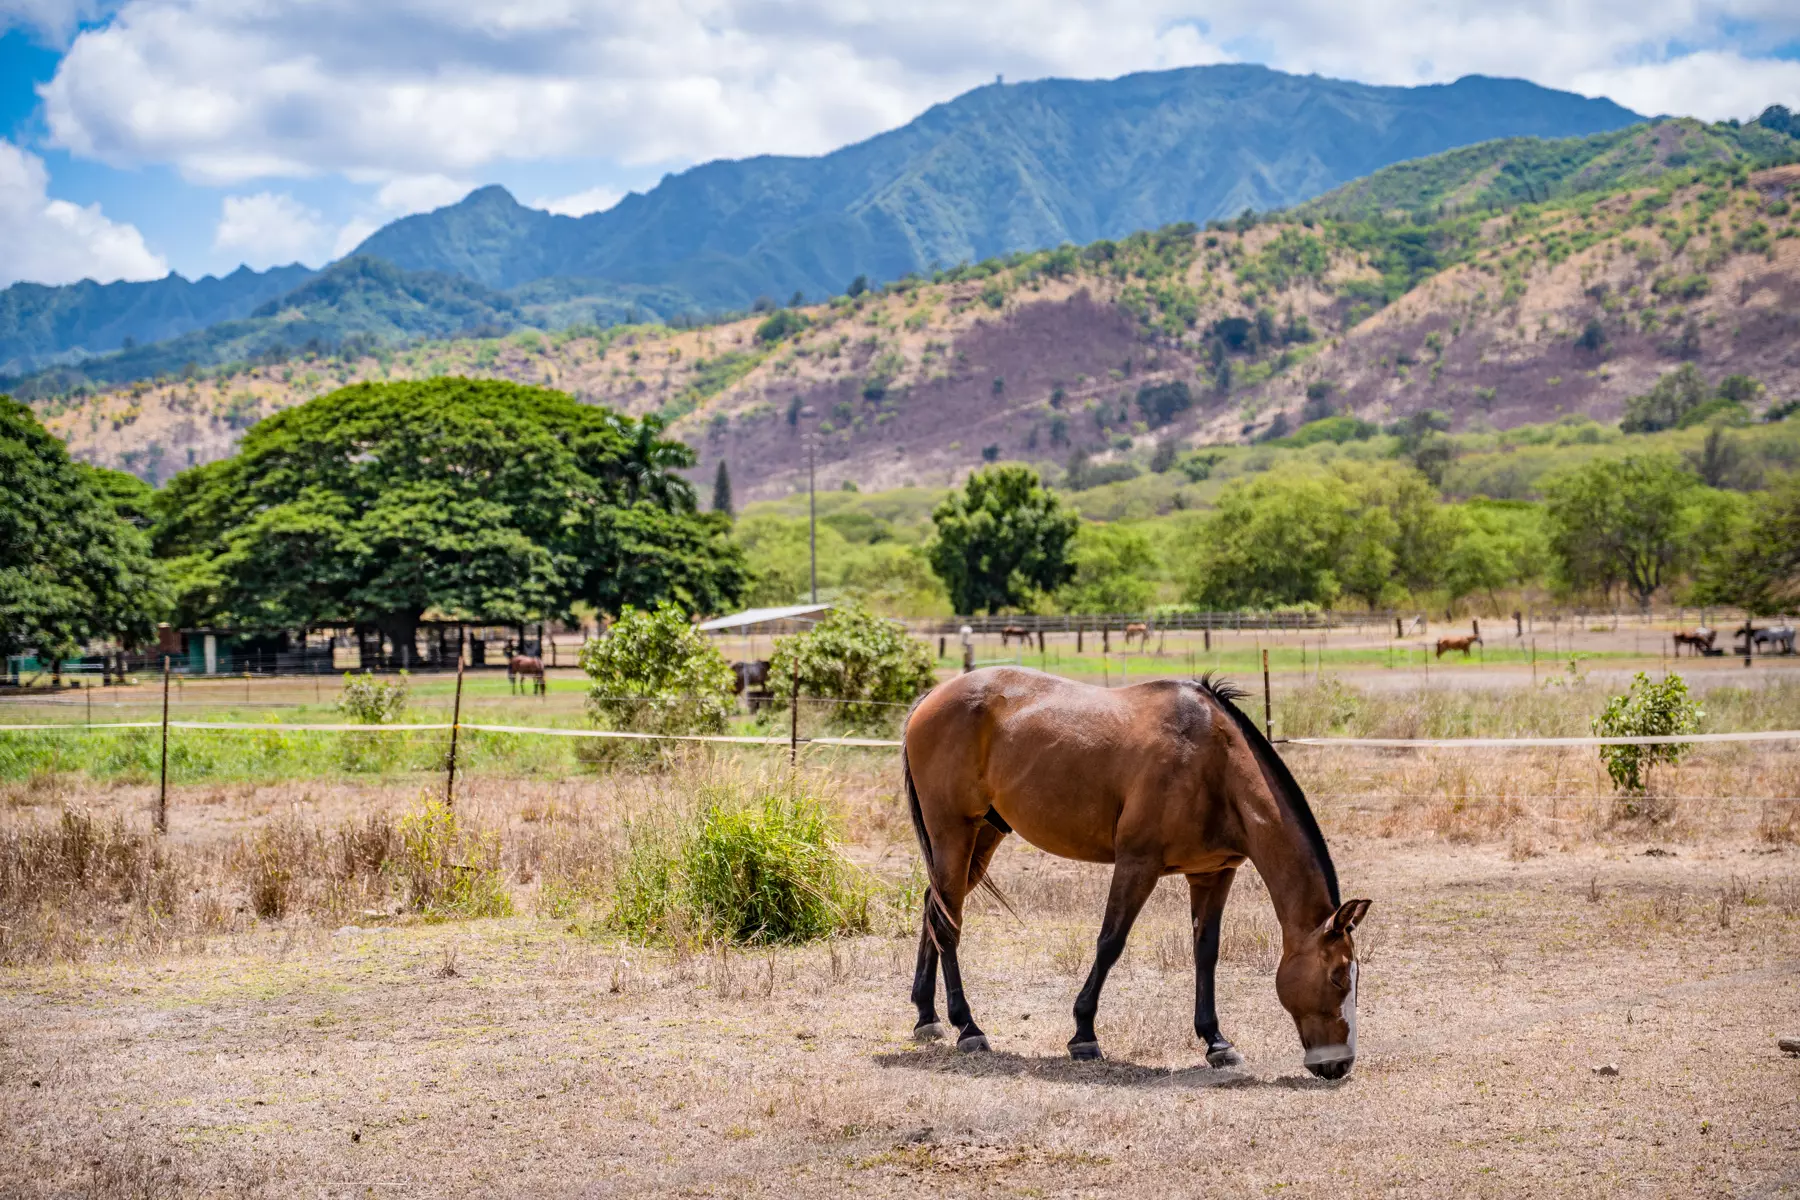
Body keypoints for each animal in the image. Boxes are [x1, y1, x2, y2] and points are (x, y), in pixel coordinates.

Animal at [907, 665, 1368, 1079]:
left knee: (935, 906)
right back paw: (968, 1028)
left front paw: (1216, 1042)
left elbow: (1206, 952)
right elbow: (1110, 943)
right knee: (947, 923)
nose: (1339, 1064)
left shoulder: (1213, 873)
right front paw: (1084, 1035)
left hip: (984, 834)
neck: (1215, 765)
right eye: (1338, 976)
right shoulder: (1137, 864)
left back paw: (927, 1017)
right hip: (954, 832)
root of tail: (930, 699)